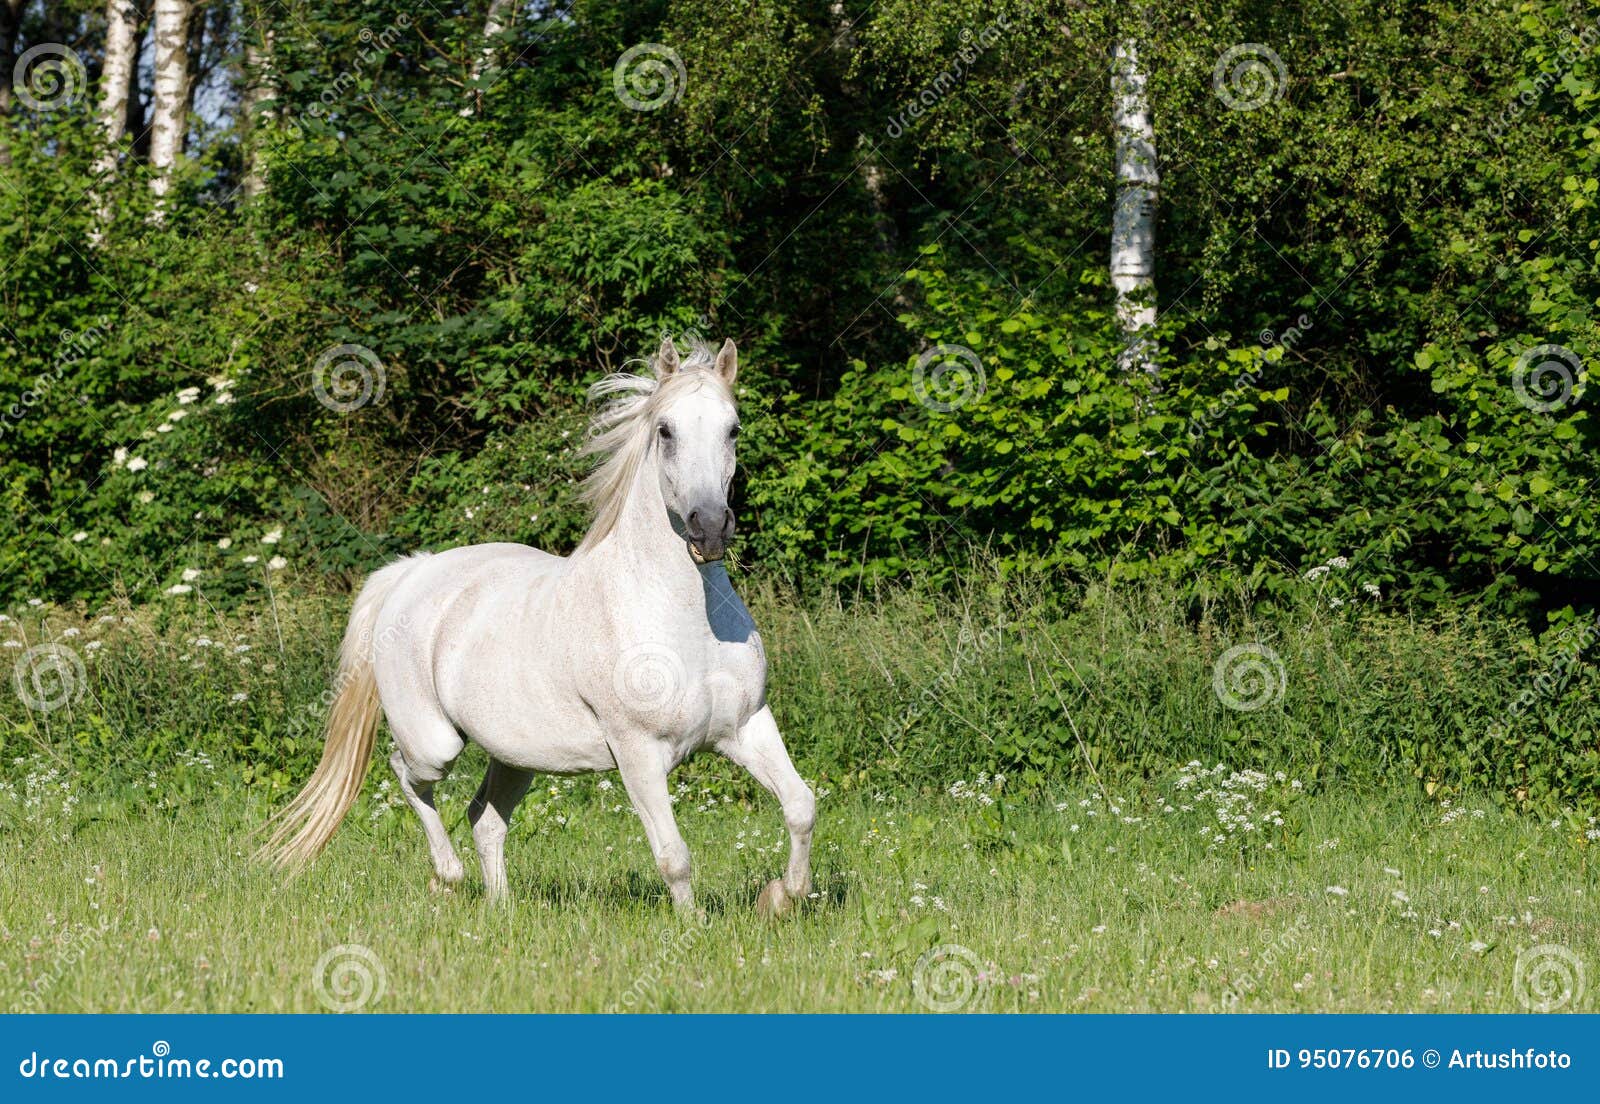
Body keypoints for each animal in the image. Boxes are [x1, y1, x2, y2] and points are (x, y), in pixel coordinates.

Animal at [260, 337, 815, 915]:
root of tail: (412, 571)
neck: (687, 624)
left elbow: (801, 806)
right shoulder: (637, 752)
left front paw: (781, 897)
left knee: (484, 820)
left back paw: (500, 908)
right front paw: (694, 926)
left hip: (515, 755)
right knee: (406, 775)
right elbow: (674, 855)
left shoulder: (747, 725)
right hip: (435, 744)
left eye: (733, 429)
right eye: (665, 430)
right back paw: (447, 876)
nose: (709, 528)